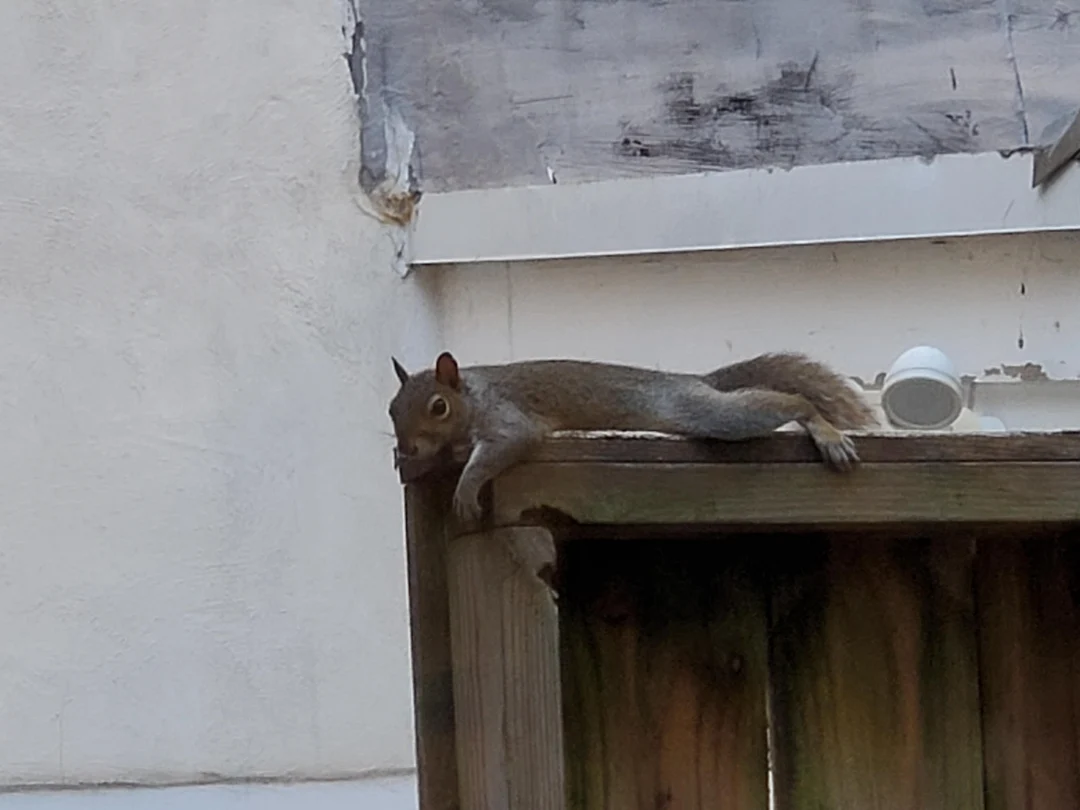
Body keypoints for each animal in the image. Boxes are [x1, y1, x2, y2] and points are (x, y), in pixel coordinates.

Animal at [388, 351, 878, 522]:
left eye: (438, 407)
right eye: (392, 408)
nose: (407, 445)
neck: (473, 394)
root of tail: (695, 381)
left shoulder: (508, 417)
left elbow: (506, 445)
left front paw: (466, 489)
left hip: (710, 413)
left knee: (791, 403)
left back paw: (822, 428)